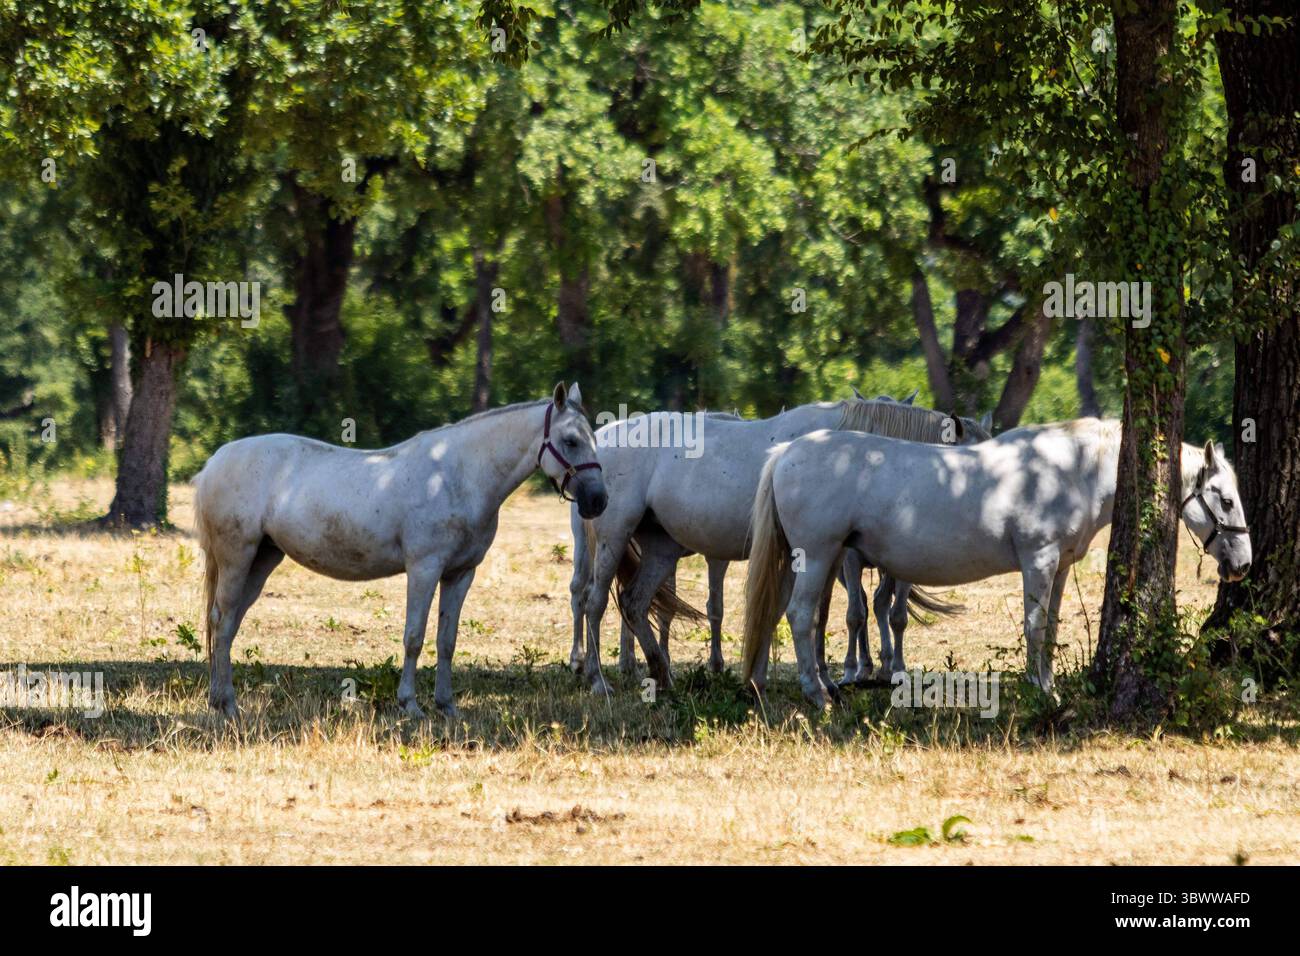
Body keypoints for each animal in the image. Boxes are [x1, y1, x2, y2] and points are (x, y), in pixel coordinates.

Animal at [194, 382, 606, 720]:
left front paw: (447, 705)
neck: (458, 475)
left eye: (593, 439)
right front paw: (410, 704)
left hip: (262, 560)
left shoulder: (460, 574)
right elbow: (414, 637)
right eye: (571, 440)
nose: (598, 500)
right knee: (221, 621)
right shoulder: (424, 569)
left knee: (227, 625)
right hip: (236, 557)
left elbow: (446, 640)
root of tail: (216, 461)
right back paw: (226, 704)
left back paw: (221, 700)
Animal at [569, 396, 988, 696]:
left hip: (661, 549)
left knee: (634, 603)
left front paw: (818, 677)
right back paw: (597, 679)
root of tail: (602, 440)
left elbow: (820, 612)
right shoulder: (826, 555)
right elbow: (818, 612)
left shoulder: (828, 556)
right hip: (613, 539)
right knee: (594, 601)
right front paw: (824, 680)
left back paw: (661, 672)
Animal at [742, 418, 1252, 707]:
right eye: (1225, 500)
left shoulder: (1059, 566)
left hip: (821, 560)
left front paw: (1050, 685)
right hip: (819, 555)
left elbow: (1052, 628)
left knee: (795, 614)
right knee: (800, 615)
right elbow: (1034, 625)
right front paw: (1038, 690)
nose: (1243, 564)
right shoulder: (1038, 560)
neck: (1069, 470)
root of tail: (786, 453)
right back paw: (817, 695)